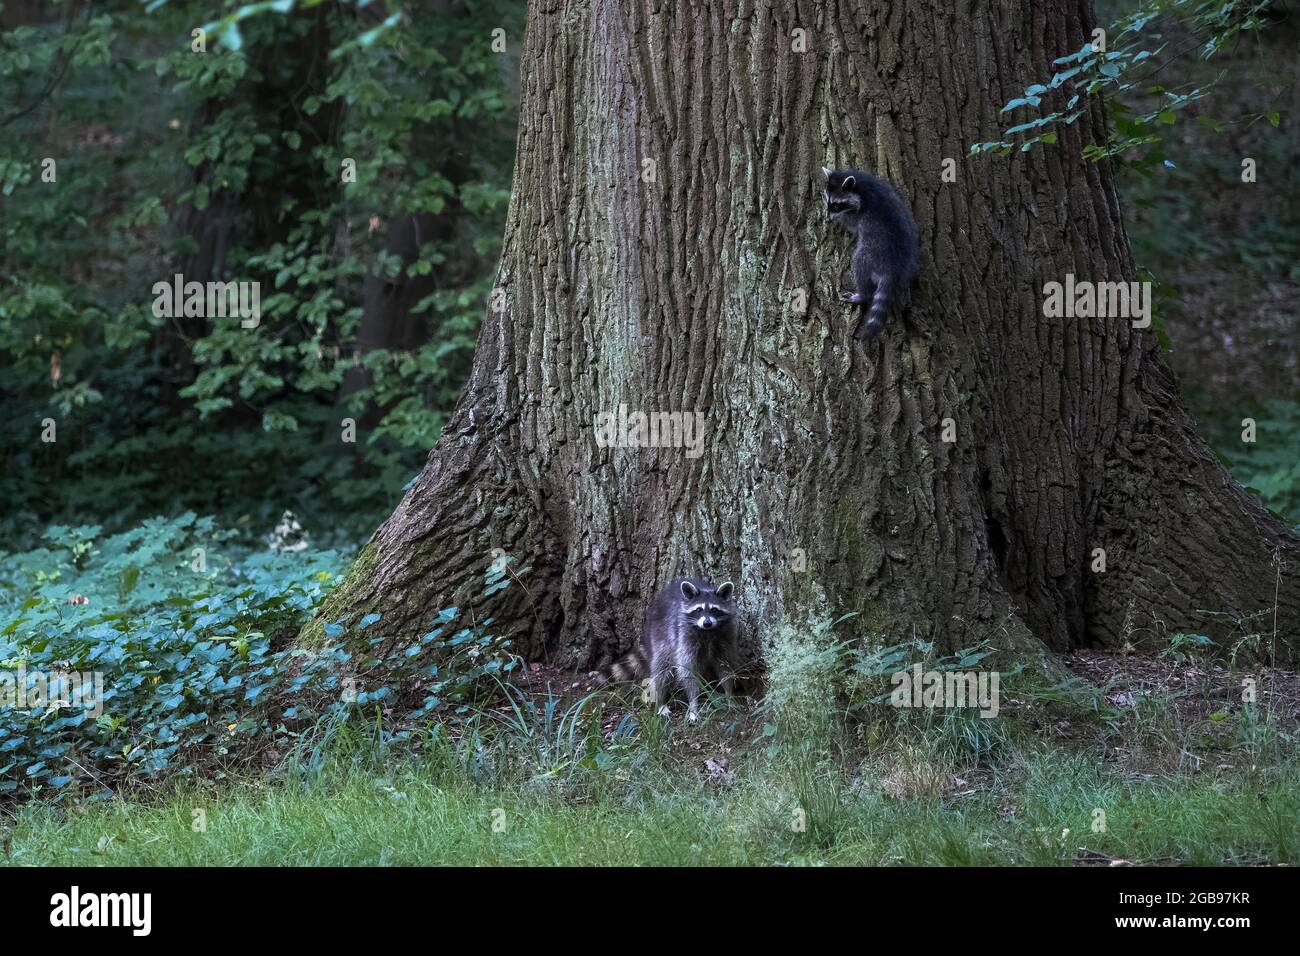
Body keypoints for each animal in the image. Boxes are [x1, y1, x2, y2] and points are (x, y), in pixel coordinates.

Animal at [602, 577, 738, 722]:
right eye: (698, 610)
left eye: (714, 610)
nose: (707, 623)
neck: (707, 631)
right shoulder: (684, 637)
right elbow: (687, 671)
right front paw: (693, 703)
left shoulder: (726, 637)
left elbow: (725, 667)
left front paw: (729, 694)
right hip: (661, 635)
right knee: (662, 669)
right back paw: (661, 700)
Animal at [822, 166, 920, 341]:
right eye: (827, 201)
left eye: (836, 206)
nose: (827, 220)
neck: (860, 187)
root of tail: (894, 267)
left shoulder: (859, 214)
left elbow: (852, 225)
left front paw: (839, 221)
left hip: (869, 255)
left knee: (860, 267)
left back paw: (862, 295)